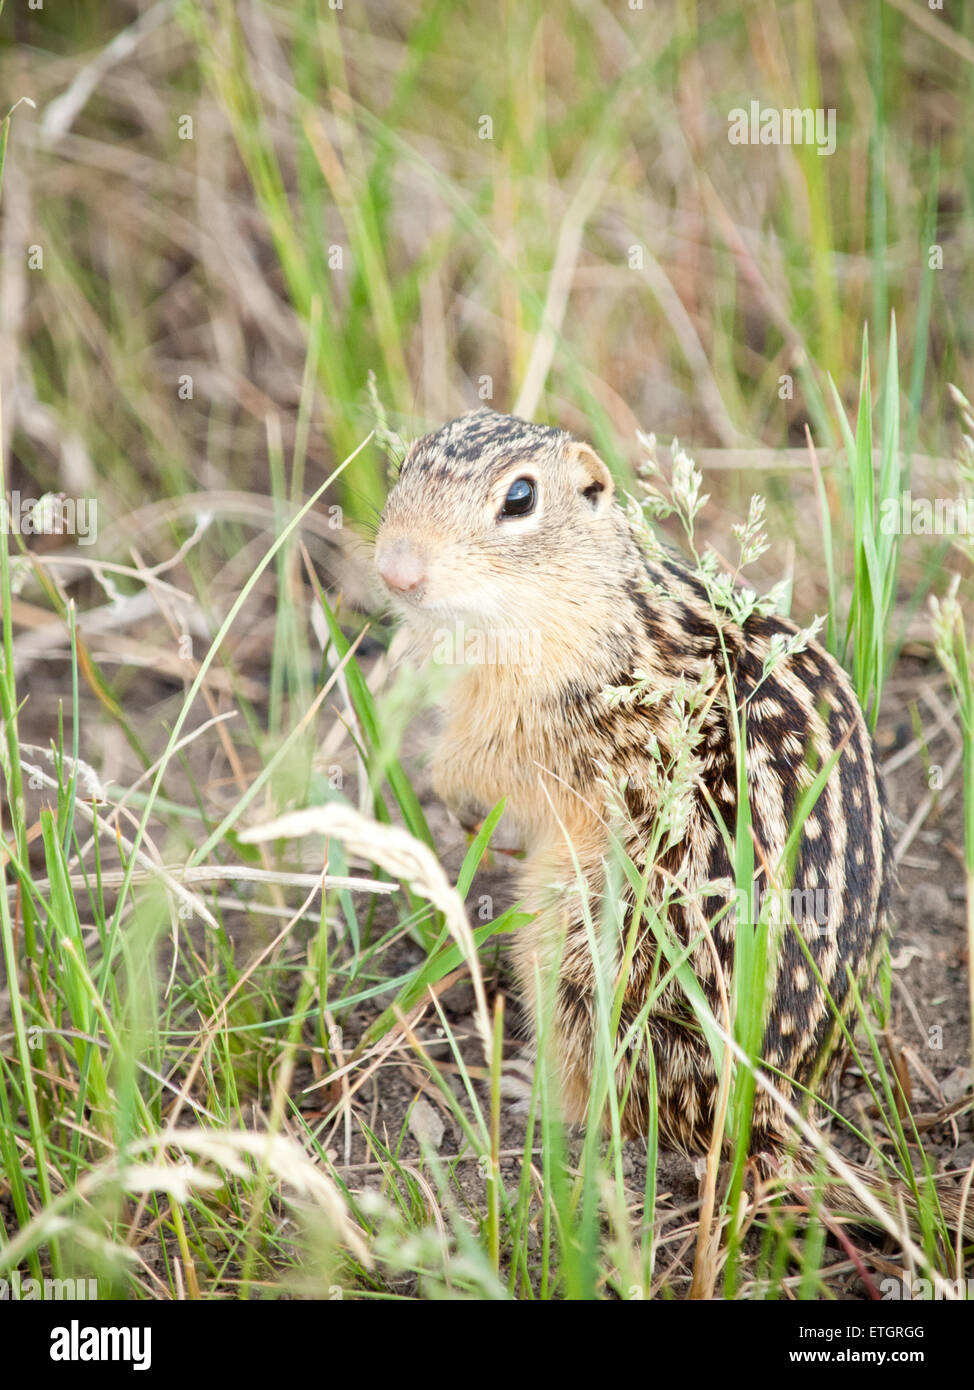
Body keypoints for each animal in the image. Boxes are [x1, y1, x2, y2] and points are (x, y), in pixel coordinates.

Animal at [373, 407, 896, 1164]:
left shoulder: (549, 730)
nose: (397, 570)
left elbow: (483, 766)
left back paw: (528, 1089)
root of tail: (762, 1113)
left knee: (614, 1098)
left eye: (520, 499)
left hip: (586, 941)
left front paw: (453, 796)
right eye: (404, 462)